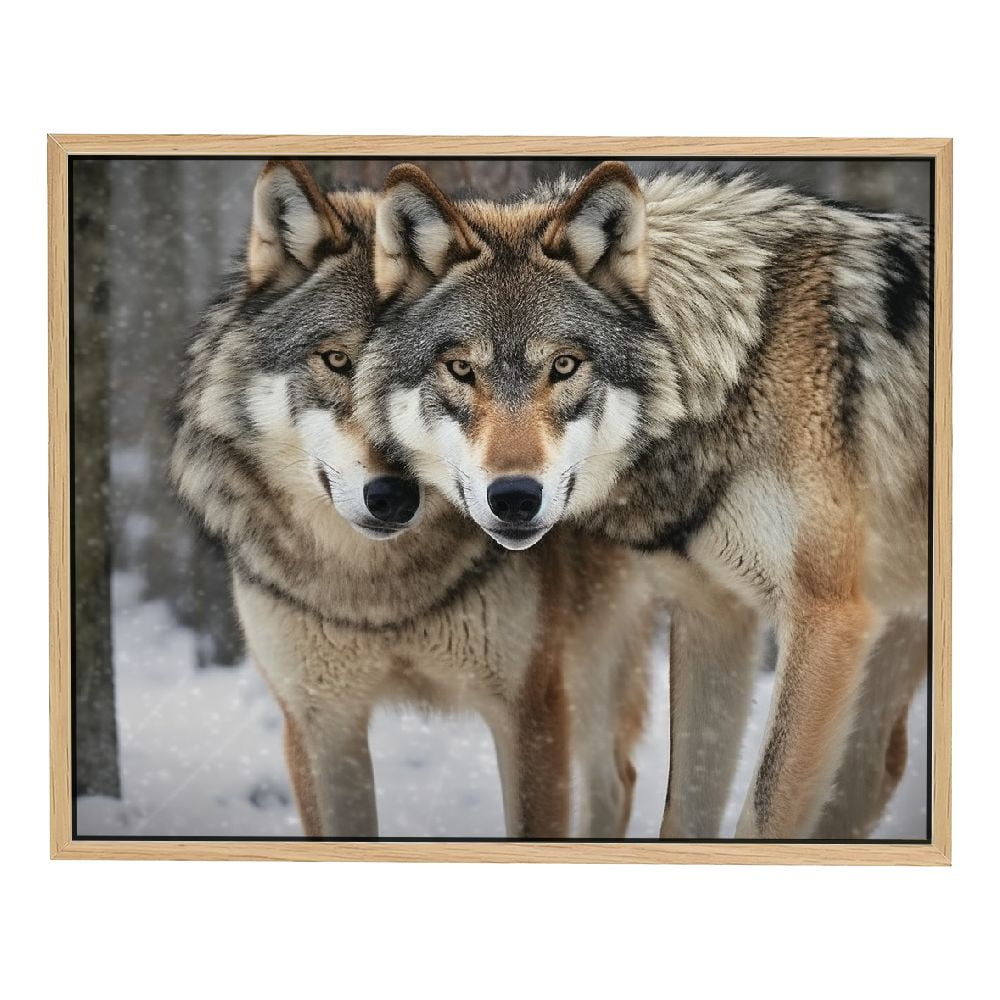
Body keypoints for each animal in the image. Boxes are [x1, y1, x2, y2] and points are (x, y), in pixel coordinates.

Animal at [357, 161, 930, 839]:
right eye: (461, 370)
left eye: (564, 366)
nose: (515, 497)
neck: (740, 362)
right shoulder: (712, 614)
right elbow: (683, 810)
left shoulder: (827, 618)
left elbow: (763, 815)